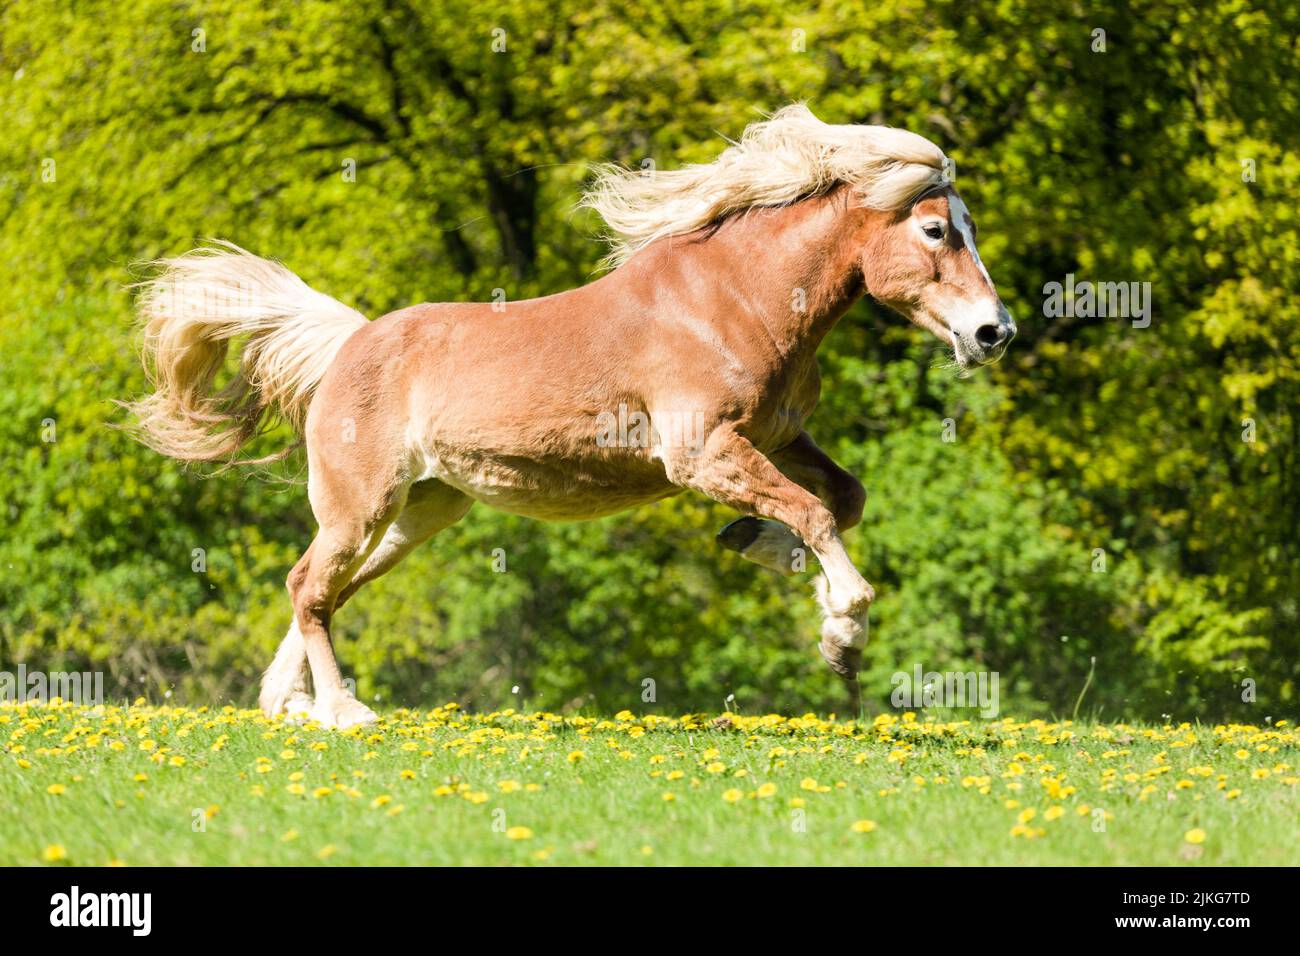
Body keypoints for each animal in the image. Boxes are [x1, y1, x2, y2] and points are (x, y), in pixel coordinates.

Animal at [123, 104, 1016, 728]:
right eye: (937, 230)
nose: (994, 333)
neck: (738, 298)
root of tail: (349, 343)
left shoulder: (779, 437)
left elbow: (842, 499)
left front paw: (758, 546)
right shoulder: (702, 452)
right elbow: (817, 515)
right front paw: (843, 636)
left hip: (419, 514)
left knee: (320, 590)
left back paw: (289, 702)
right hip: (361, 505)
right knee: (310, 585)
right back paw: (343, 712)